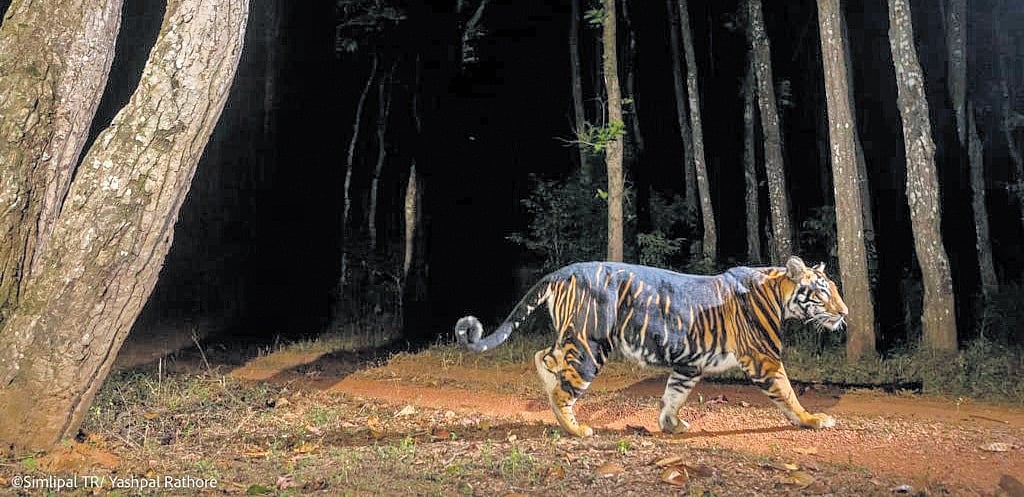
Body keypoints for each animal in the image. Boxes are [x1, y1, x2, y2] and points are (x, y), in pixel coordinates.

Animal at [454, 256, 848, 437]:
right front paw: (813, 420)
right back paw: (576, 428)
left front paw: (671, 424)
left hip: (573, 339)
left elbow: (674, 395)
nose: (844, 313)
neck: (778, 293)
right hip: (589, 345)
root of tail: (565, 270)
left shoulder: (689, 364)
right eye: (823, 292)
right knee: (563, 384)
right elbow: (789, 394)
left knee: (545, 357)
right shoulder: (764, 358)